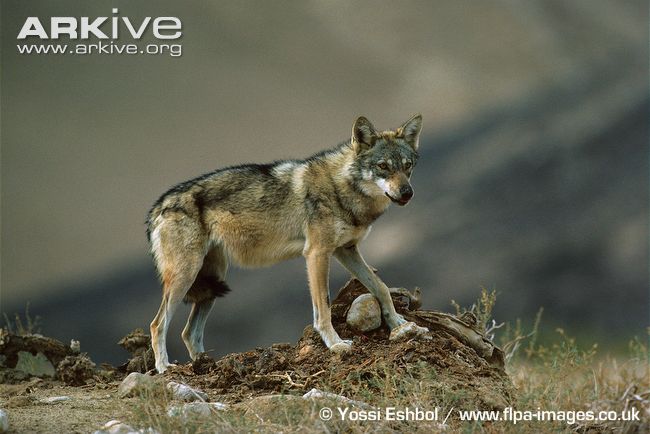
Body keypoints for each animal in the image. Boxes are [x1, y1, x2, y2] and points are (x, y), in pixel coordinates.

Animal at [146, 114, 429, 373]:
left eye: (407, 166)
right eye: (383, 166)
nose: (407, 193)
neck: (342, 189)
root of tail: (157, 207)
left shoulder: (346, 250)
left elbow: (380, 287)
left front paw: (400, 325)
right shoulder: (317, 253)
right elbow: (323, 307)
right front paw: (336, 344)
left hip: (212, 280)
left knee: (188, 332)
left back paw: (205, 366)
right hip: (186, 276)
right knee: (157, 324)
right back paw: (164, 368)